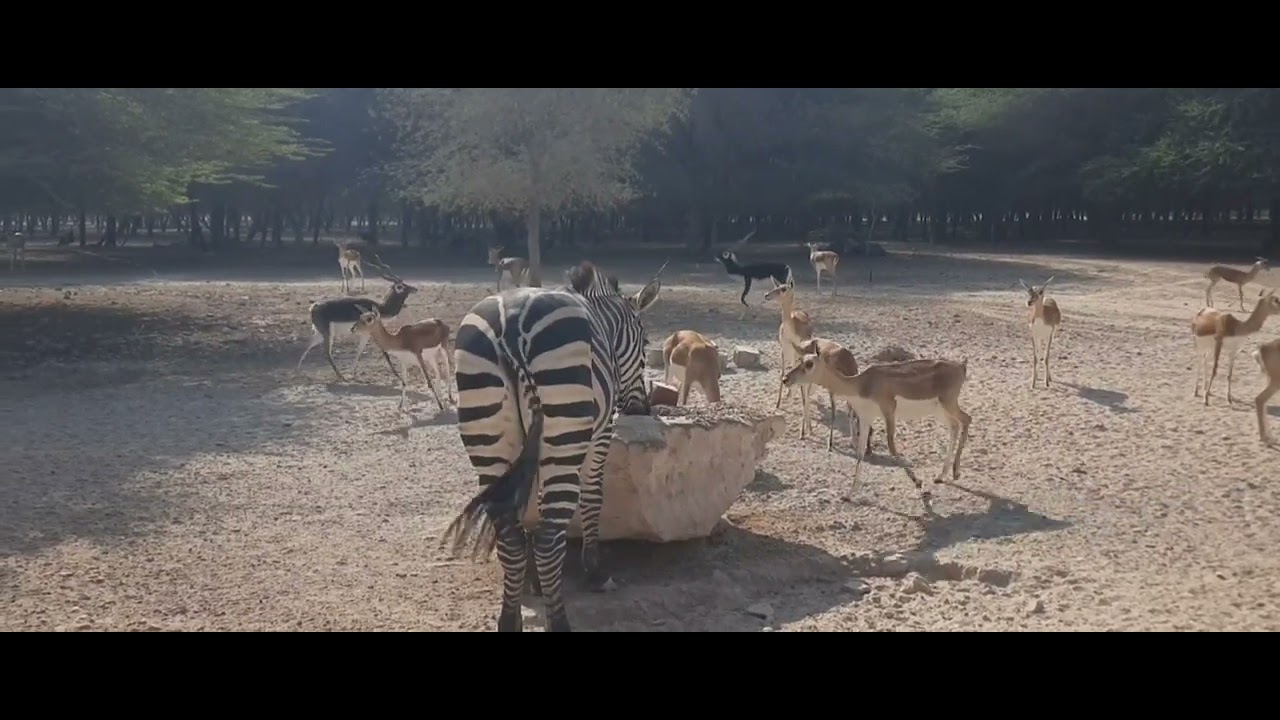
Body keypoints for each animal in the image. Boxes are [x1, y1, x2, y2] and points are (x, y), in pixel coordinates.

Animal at [440, 259, 666, 632]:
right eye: (645, 343)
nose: (641, 409)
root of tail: (511, 323)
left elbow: (528, 508)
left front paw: (531, 581)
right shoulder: (601, 433)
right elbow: (593, 497)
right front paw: (594, 571)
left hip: (489, 436)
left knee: (509, 535)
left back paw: (510, 618)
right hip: (563, 436)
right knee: (549, 539)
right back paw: (558, 620)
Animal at [765, 276, 816, 437]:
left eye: (783, 289)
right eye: (775, 286)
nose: (766, 295)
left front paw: (806, 429)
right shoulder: (783, 349)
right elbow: (782, 372)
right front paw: (778, 403)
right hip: (792, 353)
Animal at [783, 352, 972, 500]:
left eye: (809, 364)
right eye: (799, 359)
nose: (785, 379)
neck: (862, 384)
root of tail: (961, 366)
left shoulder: (889, 411)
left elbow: (892, 447)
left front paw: (919, 484)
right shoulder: (866, 417)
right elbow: (860, 453)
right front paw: (848, 494)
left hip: (948, 404)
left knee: (967, 419)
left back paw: (955, 472)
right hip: (940, 410)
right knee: (955, 426)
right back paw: (942, 476)